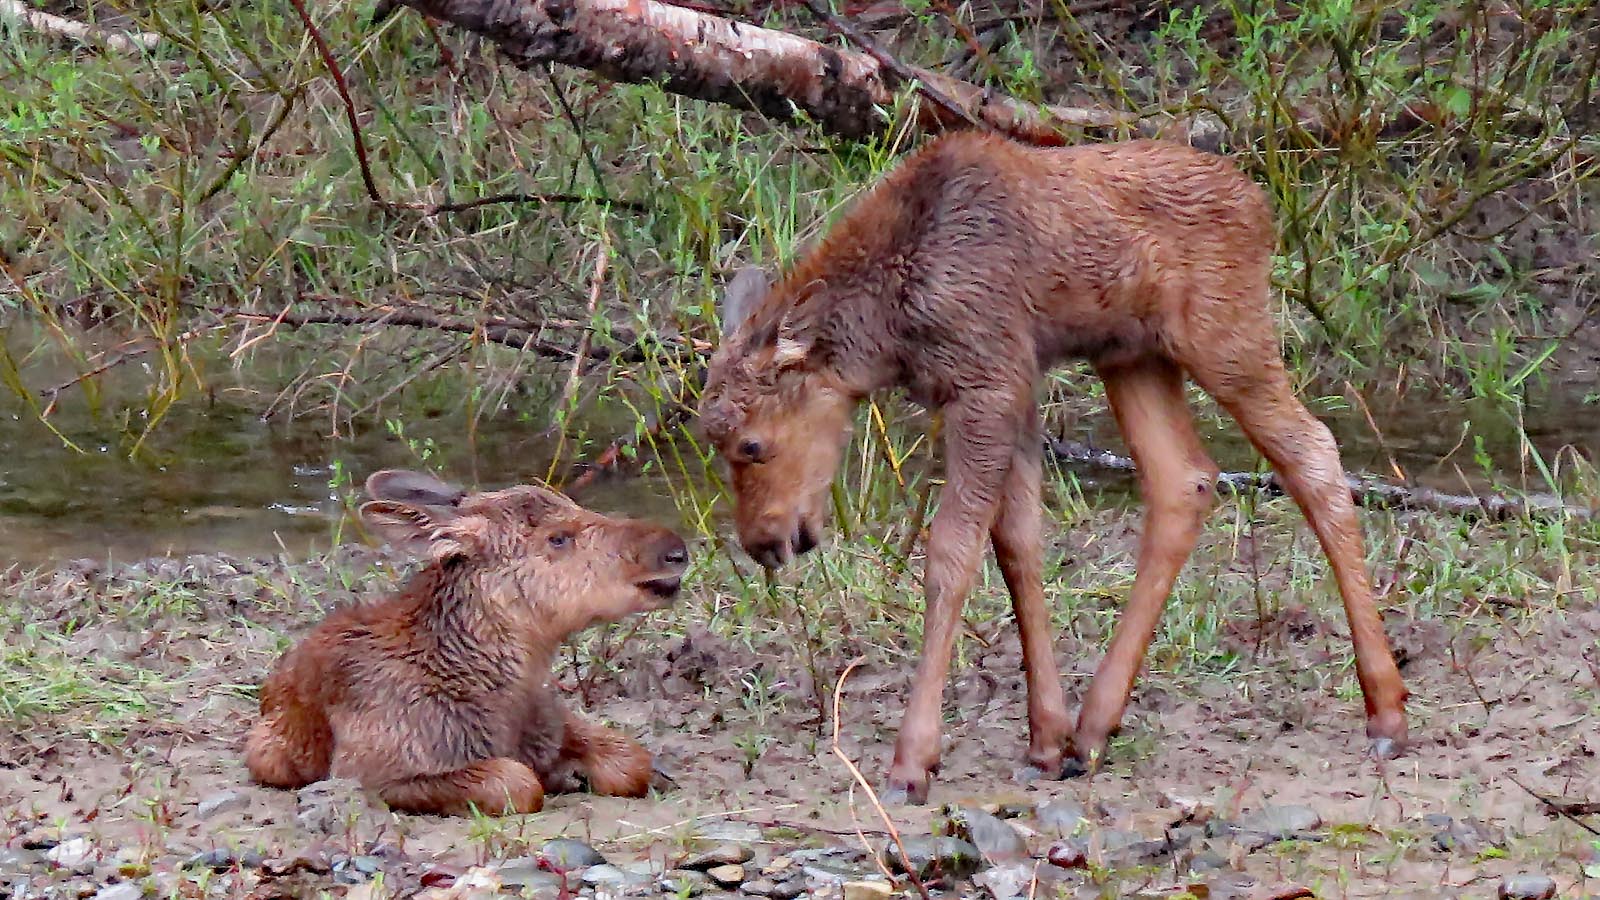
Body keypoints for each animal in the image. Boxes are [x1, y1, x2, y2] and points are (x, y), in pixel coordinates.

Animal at [244, 469, 690, 816]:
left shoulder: (556, 722)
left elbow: (632, 759)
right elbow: (518, 782)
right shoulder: (371, 773)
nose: (675, 550)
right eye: (558, 538)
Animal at [698, 131, 1410, 805]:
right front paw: (1044, 738)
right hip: (1133, 355)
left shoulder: (987, 383)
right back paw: (1093, 727)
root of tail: (1264, 209)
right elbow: (1018, 547)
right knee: (1184, 478)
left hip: (1226, 336)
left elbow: (951, 555)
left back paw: (1386, 712)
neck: (890, 329)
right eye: (713, 438)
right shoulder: (1015, 389)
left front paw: (912, 762)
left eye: (751, 444)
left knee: (1314, 452)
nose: (762, 542)